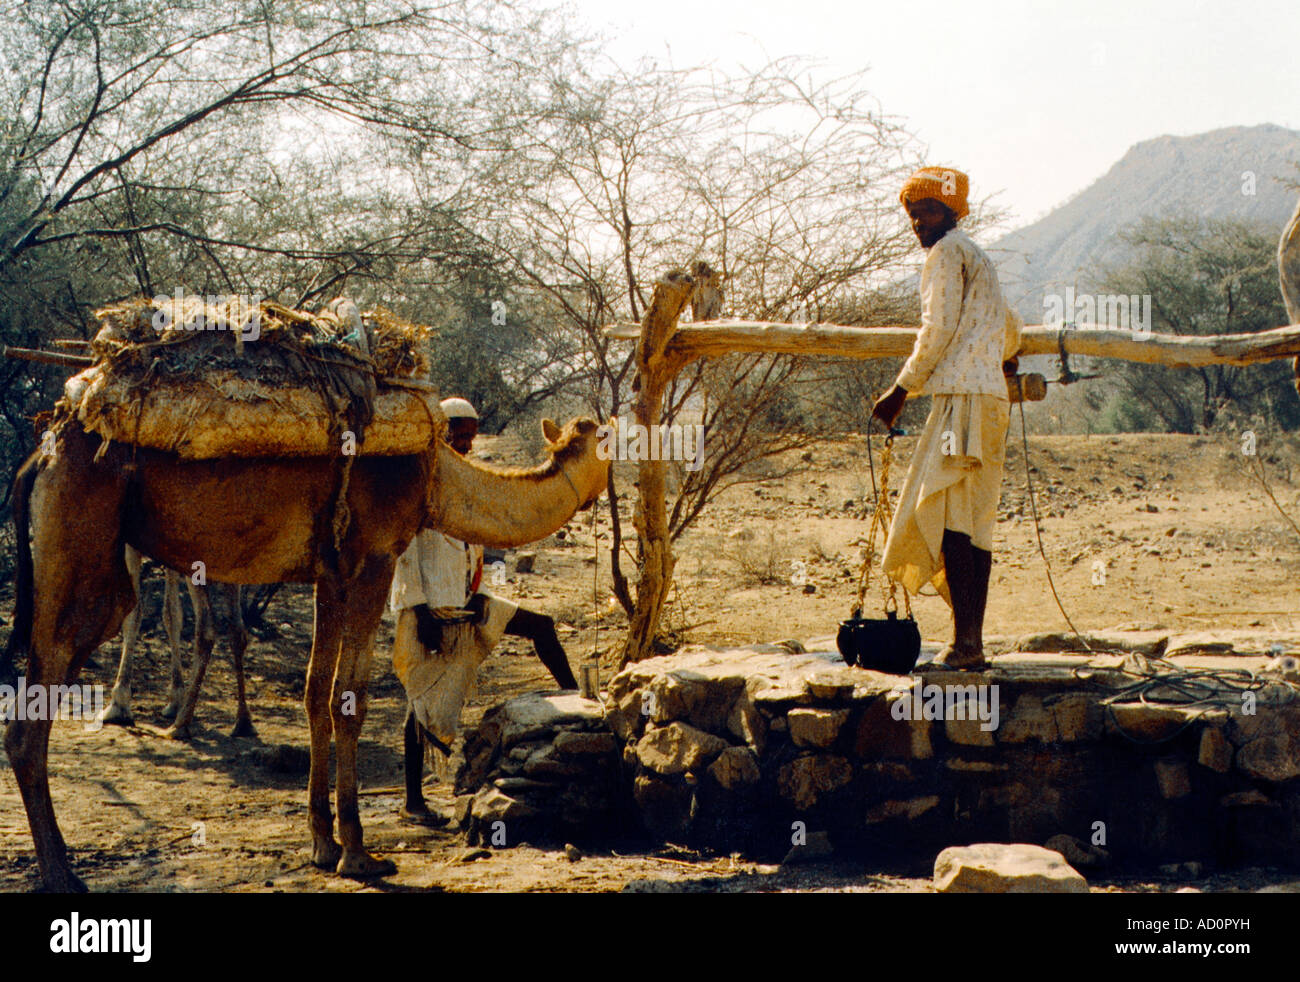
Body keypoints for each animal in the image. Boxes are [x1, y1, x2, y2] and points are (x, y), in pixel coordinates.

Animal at [101, 549, 254, 740]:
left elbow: (133, 615)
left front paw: (118, 704)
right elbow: (172, 615)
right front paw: (176, 699)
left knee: (209, 628)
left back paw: (182, 725)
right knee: (237, 629)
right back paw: (243, 722)